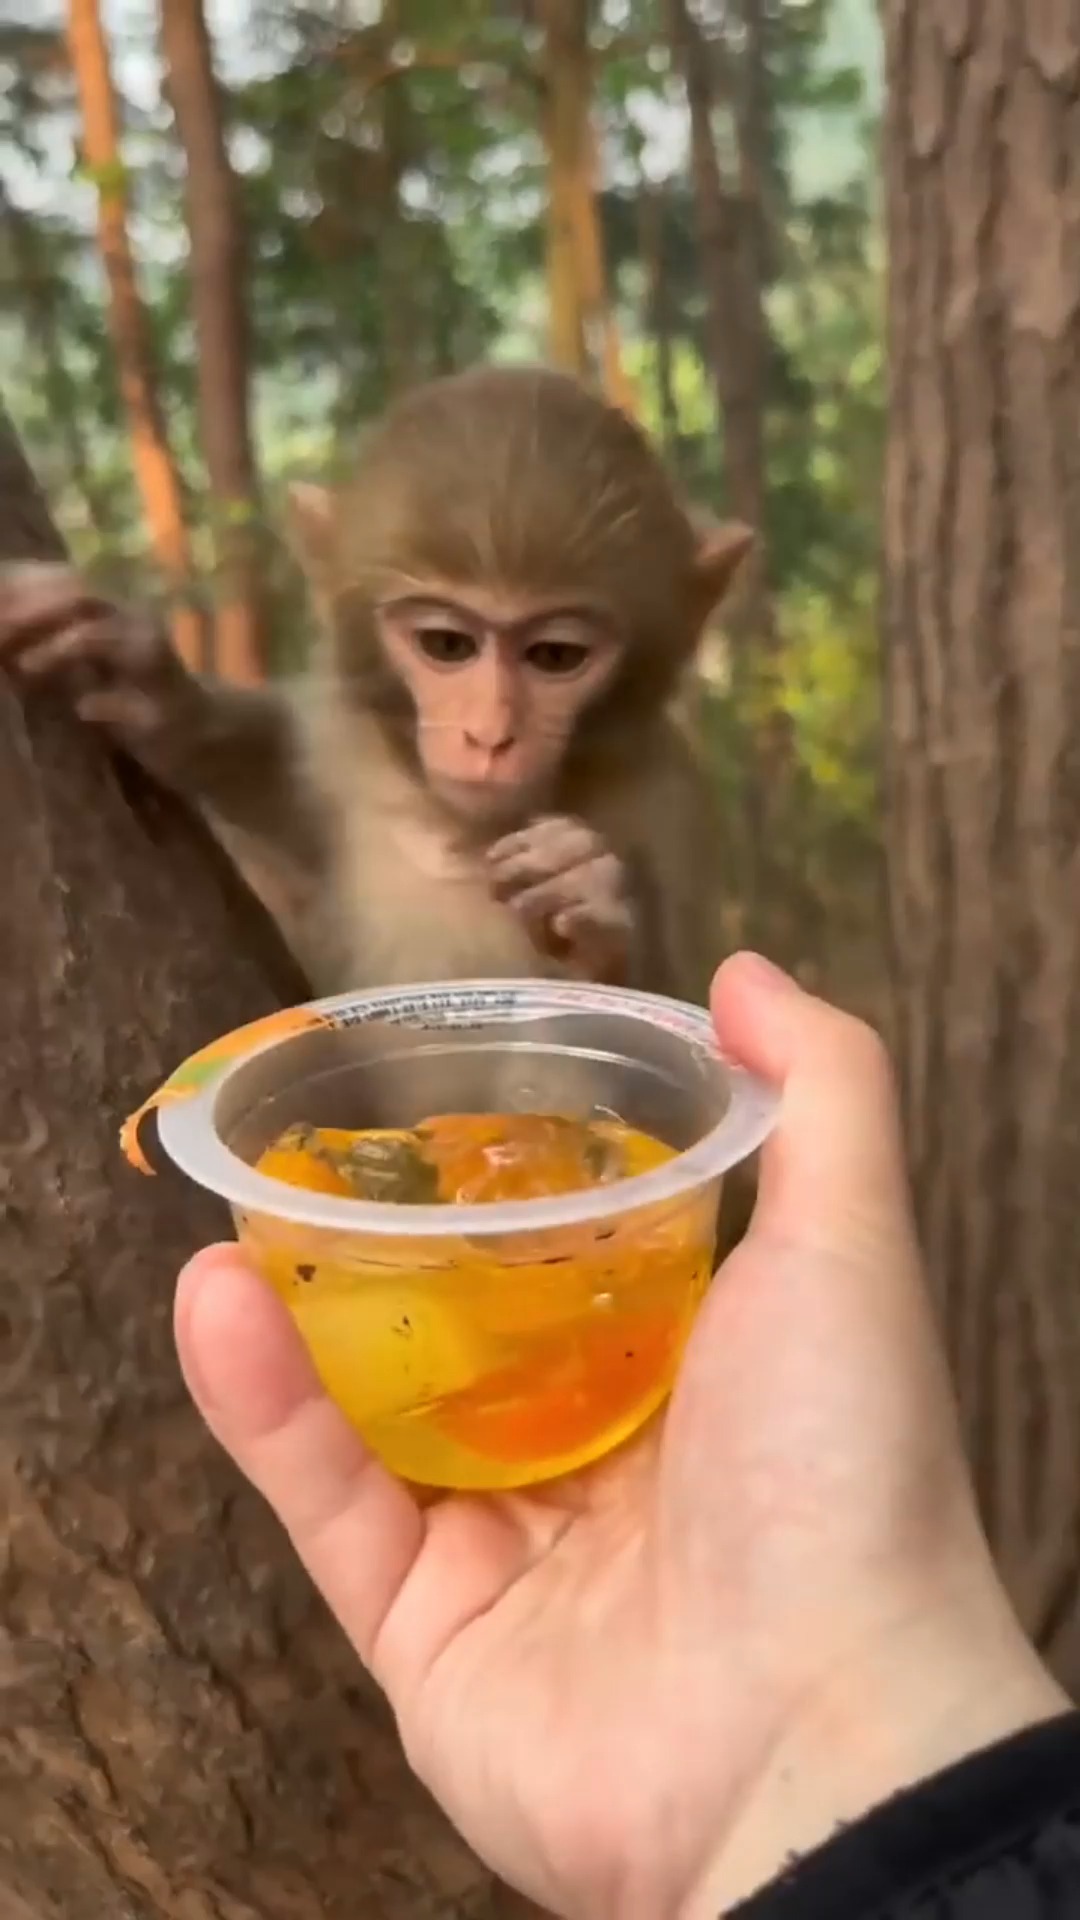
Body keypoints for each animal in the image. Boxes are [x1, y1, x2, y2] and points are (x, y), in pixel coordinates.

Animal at [0, 365, 751, 1008]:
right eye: (447, 646)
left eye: (555, 656)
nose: (489, 736)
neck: (459, 833)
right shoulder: (345, 749)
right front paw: (158, 694)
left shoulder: (672, 805)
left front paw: (591, 906)